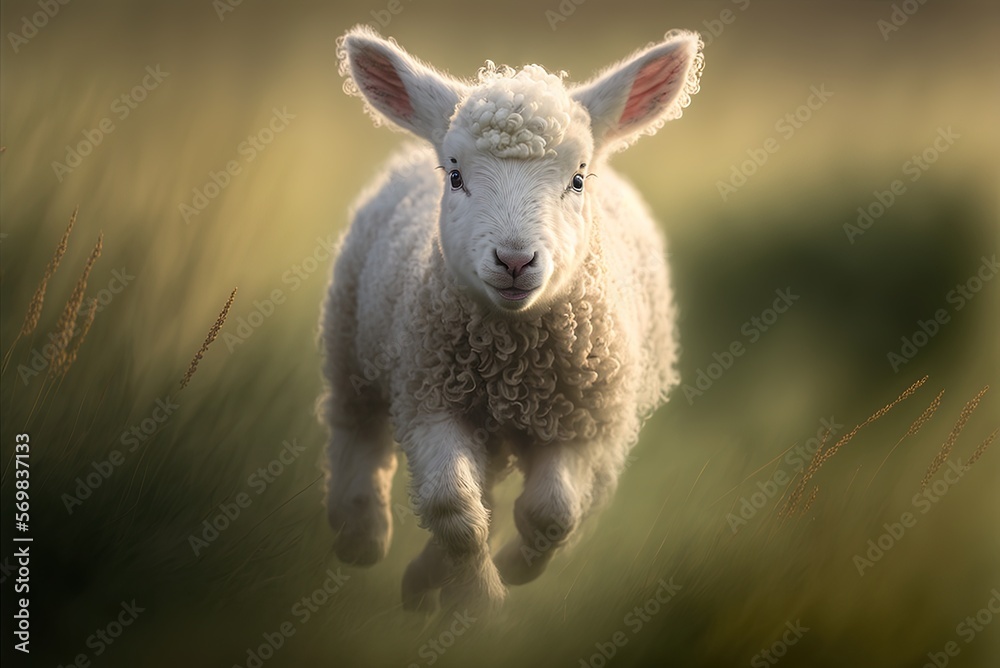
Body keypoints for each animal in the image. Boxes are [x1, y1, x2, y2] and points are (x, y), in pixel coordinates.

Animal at [320, 25, 703, 613]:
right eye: (455, 176)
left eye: (577, 179)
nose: (516, 260)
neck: (514, 362)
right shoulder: (429, 398)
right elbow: (453, 508)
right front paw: (476, 601)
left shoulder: (586, 423)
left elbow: (551, 513)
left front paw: (508, 570)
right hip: (351, 338)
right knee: (356, 425)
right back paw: (362, 531)